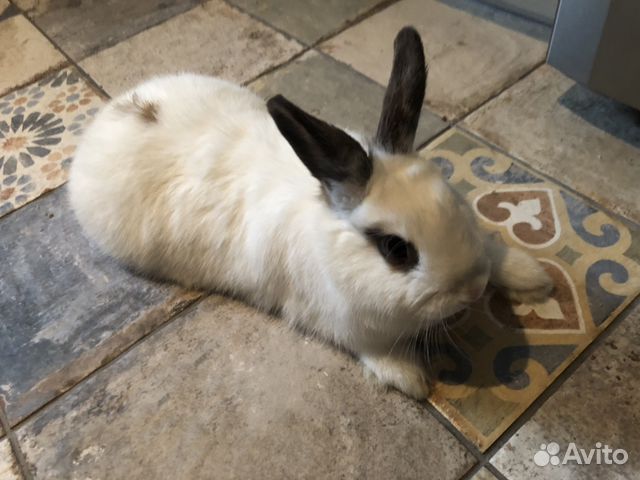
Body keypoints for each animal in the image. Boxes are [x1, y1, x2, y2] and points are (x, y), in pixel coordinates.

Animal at [69, 27, 553, 400]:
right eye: (397, 250)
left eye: (454, 201)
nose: (471, 290)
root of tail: (110, 115)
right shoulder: (339, 321)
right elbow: (374, 349)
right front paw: (410, 378)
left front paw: (532, 275)